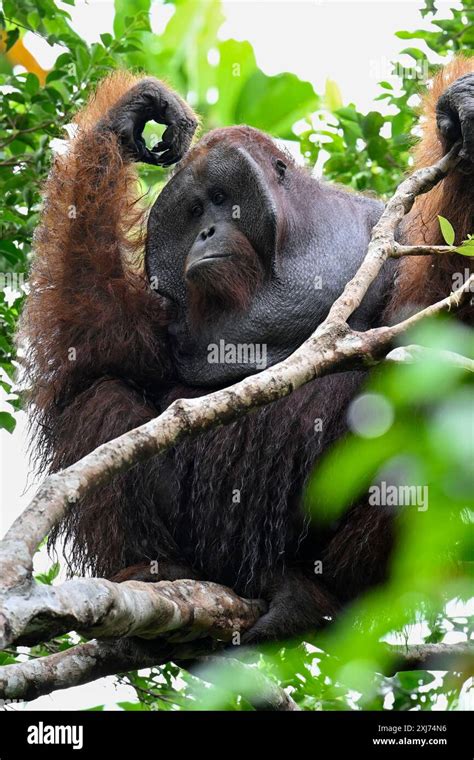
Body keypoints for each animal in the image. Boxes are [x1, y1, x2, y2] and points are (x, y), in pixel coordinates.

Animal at [21, 60, 473, 643]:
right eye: (194, 210)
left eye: (221, 198)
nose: (206, 230)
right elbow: (108, 349)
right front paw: (127, 118)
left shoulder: (389, 231)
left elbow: (429, 320)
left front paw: (461, 110)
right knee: (105, 395)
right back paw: (154, 569)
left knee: (419, 422)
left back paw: (318, 594)